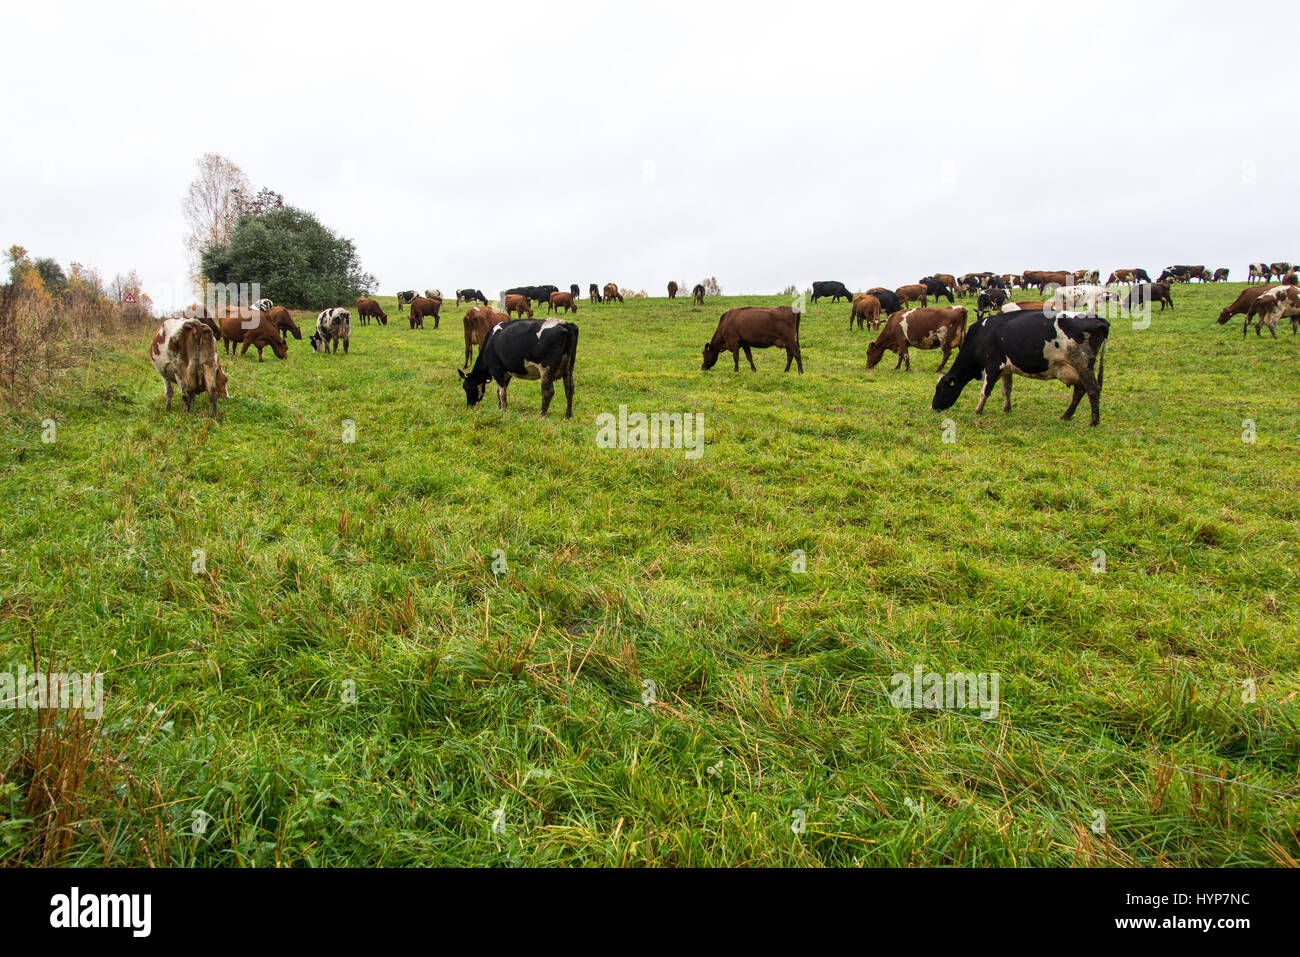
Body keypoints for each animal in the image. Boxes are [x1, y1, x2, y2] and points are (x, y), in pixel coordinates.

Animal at [932, 310, 1110, 426]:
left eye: (940, 389)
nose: (933, 407)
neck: (980, 336)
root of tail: (1099, 320)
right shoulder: (1006, 369)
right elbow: (1007, 389)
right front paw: (1007, 408)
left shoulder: (993, 366)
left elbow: (985, 391)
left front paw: (978, 410)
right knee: (1080, 391)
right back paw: (1066, 416)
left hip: (1083, 364)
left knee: (1092, 390)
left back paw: (1093, 421)